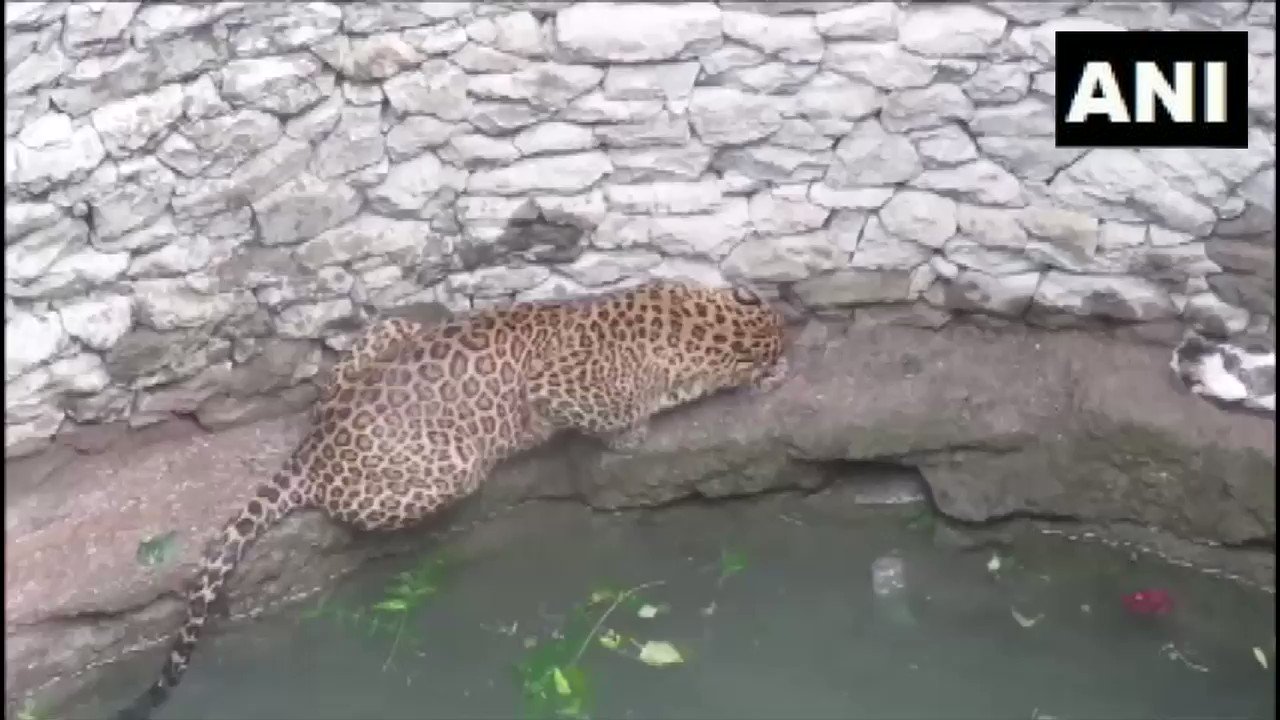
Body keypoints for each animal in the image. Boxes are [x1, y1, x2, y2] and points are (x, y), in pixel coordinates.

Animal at [115, 280, 789, 719]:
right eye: (778, 353)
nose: (788, 364)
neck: (691, 319)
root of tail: (315, 446)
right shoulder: (561, 389)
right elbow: (615, 419)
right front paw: (634, 433)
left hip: (391, 327)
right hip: (454, 469)